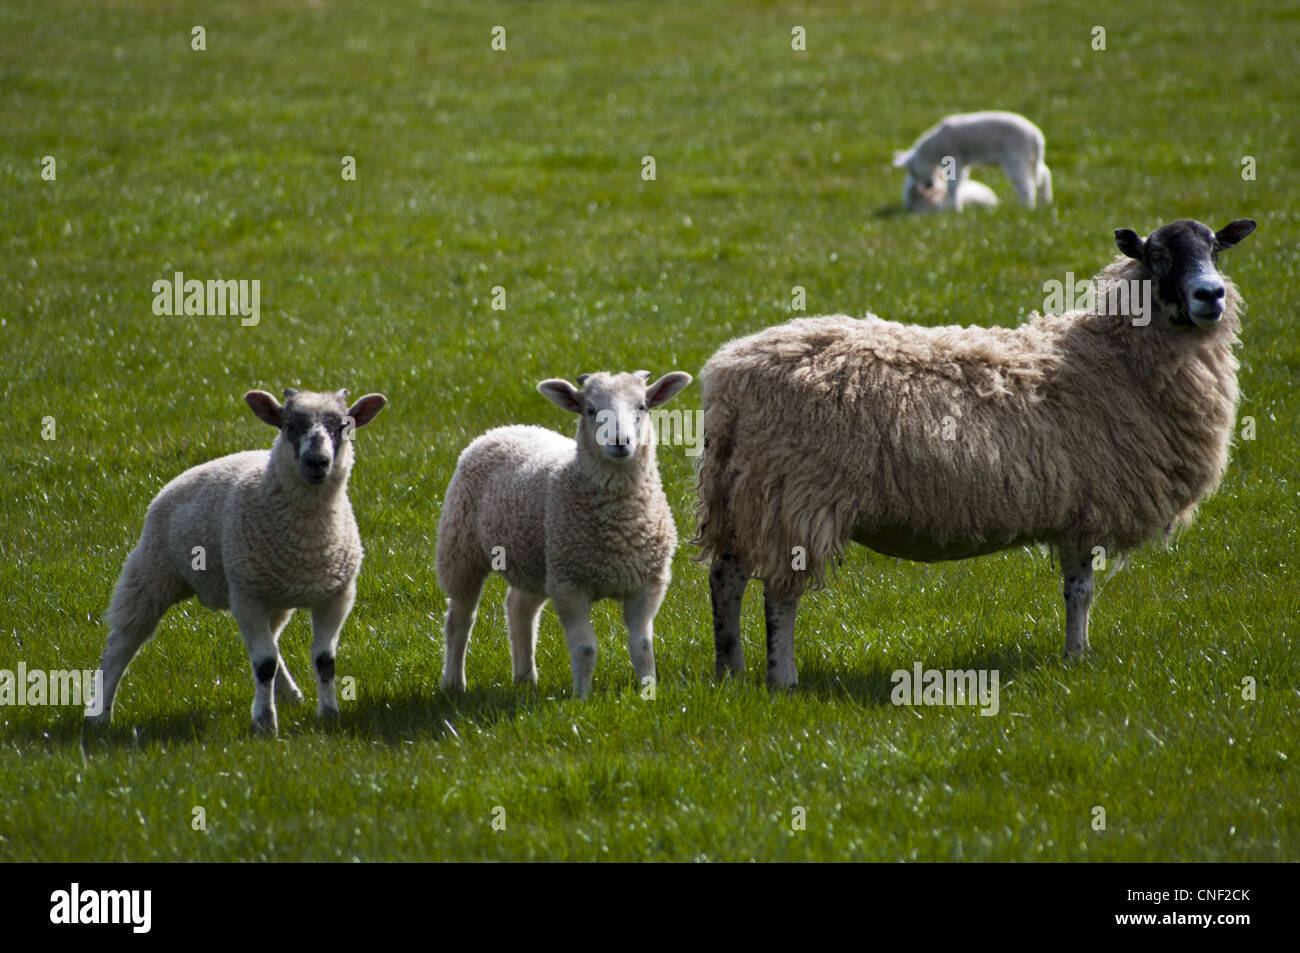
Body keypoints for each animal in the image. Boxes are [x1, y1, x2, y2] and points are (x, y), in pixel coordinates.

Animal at [87, 387, 388, 733]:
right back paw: (98, 715)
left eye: (342, 427)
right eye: (288, 426)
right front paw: (265, 723)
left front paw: (329, 716)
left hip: (272, 597)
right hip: (151, 573)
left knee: (273, 642)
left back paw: (291, 695)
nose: (317, 462)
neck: (307, 538)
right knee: (120, 643)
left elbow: (324, 661)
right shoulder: (248, 596)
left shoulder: (337, 594)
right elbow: (264, 664)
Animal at [436, 370, 692, 698]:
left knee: (519, 606)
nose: (620, 442)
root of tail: (507, 428)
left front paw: (648, 693)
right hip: (461, 549)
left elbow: (643, 646)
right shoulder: (570, 585)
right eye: (590, 410)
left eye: (642, 406)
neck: (620, 524)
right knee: (460, 618)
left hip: (537, 561)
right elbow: (585, 649)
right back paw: (454, 682)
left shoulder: (648, 584)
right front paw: (581, 699)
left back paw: (525, 678)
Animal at [695, 218, 1257, 687]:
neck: (1114, 356)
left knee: (726, 577)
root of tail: (727, 376)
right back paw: (782, 679)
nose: (1211, 295)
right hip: (795, 494)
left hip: (743, 491)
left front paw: (1075, 657)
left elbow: (1077, 589)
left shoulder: (1075, 508)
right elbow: (1082, 591)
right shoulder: (1087, 507)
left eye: (1215, 248)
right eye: (1157, 254)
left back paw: (730, 671)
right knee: (778, 595)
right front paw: (1077, 657)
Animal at [893, 111, 1051, 211]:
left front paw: (955, 209)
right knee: (1044, 174)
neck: (933, 149)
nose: (928, 185)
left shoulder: (955, 158)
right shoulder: (962, 163)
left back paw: (1026, 208)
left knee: (1026, 186)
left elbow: (953, 186)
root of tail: (1037, 136)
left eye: (912, 170)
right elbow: (959, 182)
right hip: (1030, 159)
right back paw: (1045, 201)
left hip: (1015, 158)